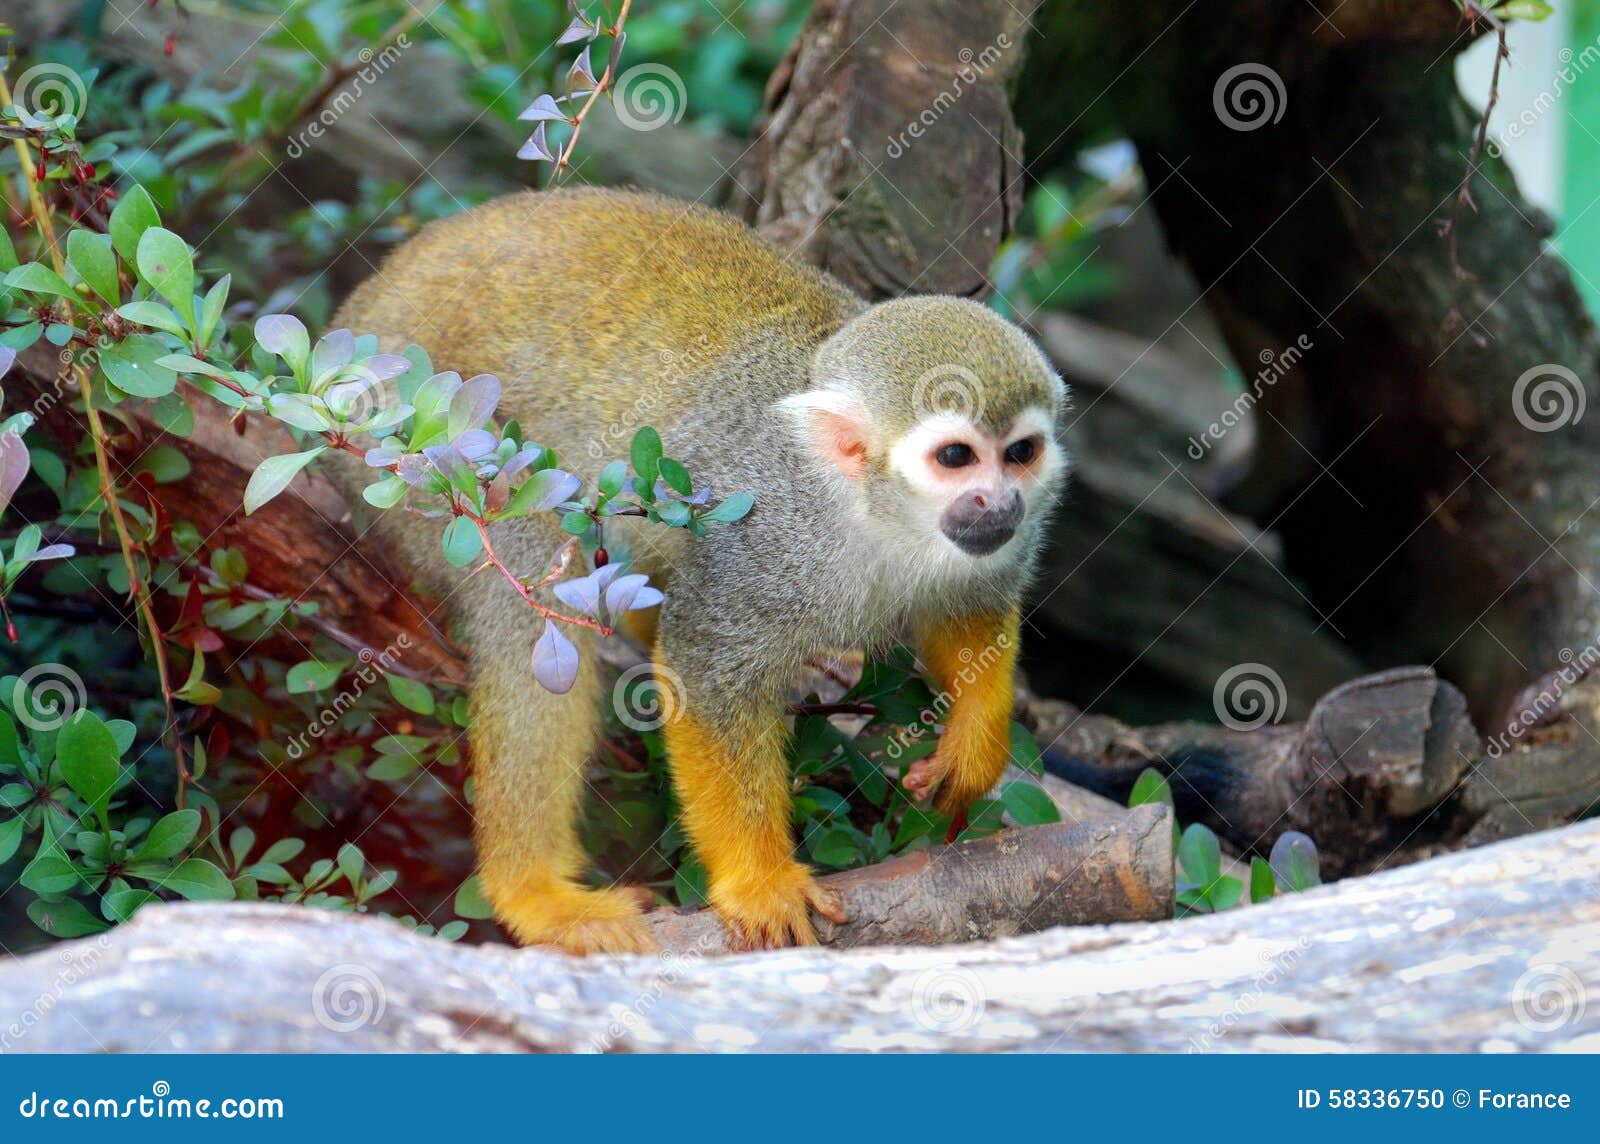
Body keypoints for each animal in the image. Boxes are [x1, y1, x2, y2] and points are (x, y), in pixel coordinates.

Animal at [329, 187, 1068, 955]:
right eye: (956, 458)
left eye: (1021, 453)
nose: (1001, 501)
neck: (869, 511)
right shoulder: (761, 534)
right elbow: (705, 673)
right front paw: (759, 881)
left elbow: (971, 612)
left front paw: (976, 741)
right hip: (417, 458)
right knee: (530, 600)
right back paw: (534, 894)